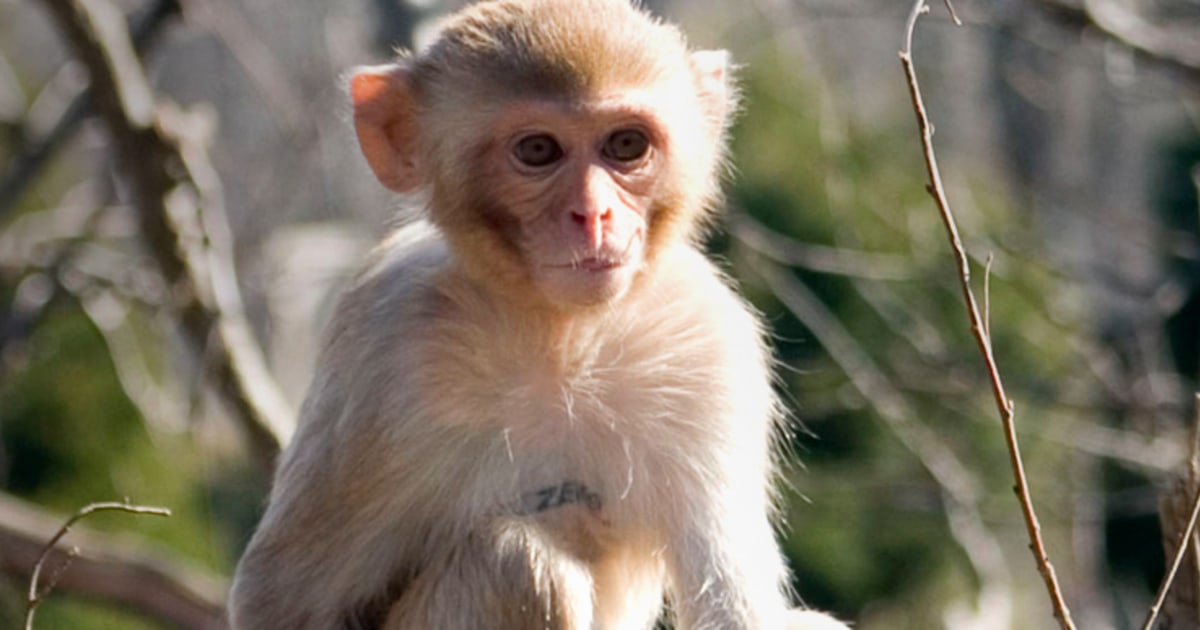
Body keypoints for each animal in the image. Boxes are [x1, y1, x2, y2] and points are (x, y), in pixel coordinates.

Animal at [229, 1, 851, 629]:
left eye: (626, 144)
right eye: (537, 151)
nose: (594, 214)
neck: (559, 337)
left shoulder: (704, 341)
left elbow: (735, 609)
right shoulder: (384, 342)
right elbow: (279, 602)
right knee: (519, 562)